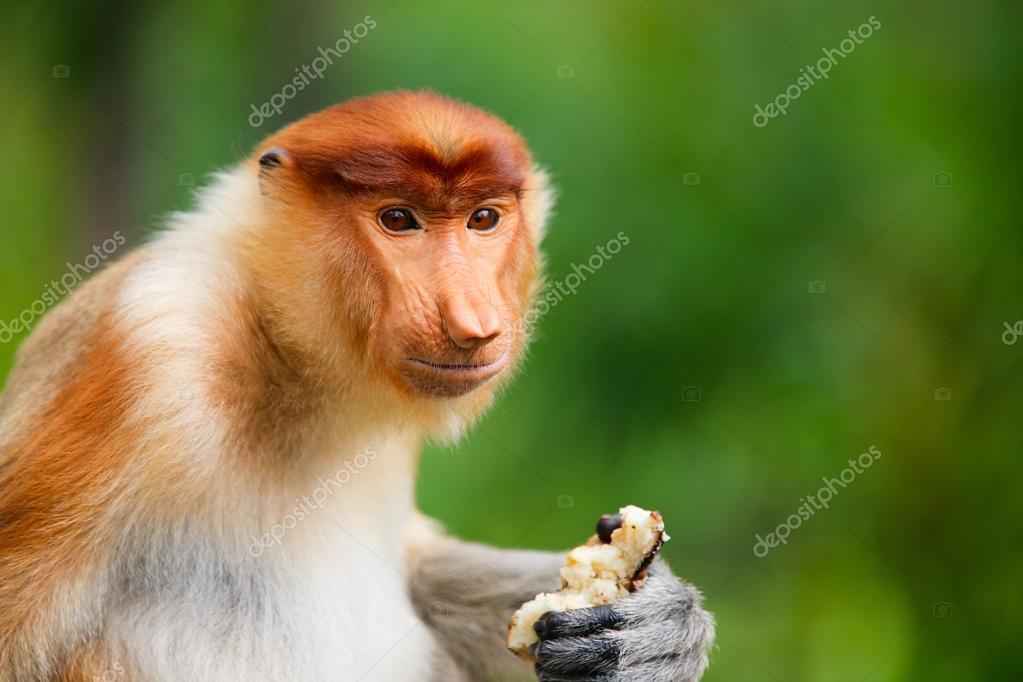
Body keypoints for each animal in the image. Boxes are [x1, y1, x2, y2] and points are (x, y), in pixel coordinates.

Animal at [0, 91, 713, 681]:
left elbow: (418, 563)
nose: (473, 322)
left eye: (483, 218)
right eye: (398, 219)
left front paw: (662, 626)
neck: (281, 352)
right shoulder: (152, 343)